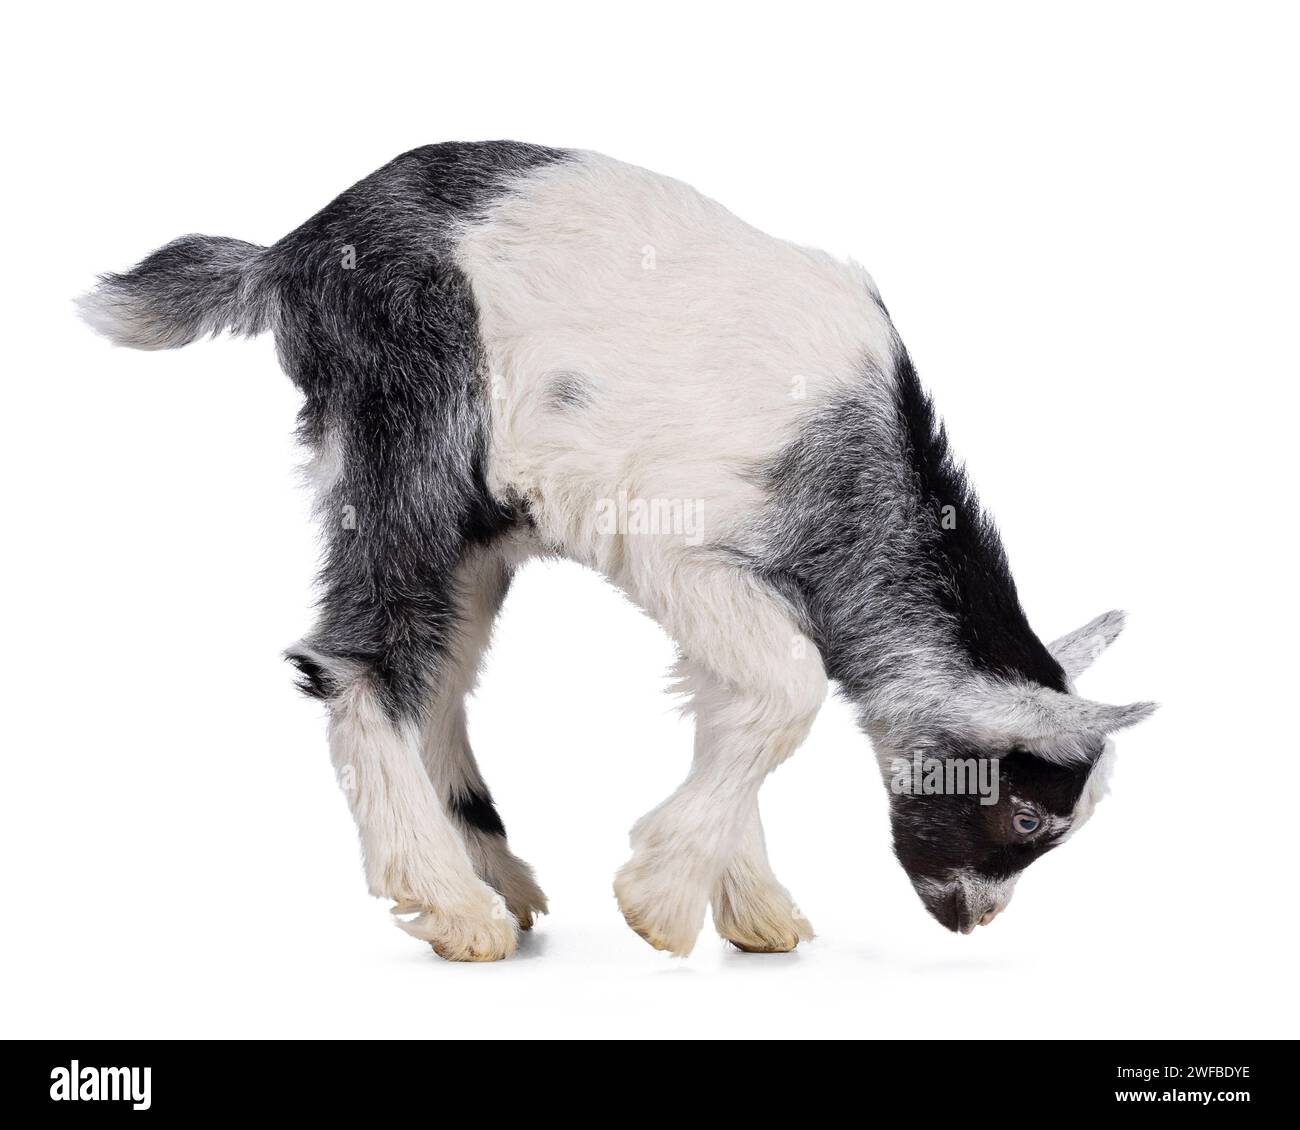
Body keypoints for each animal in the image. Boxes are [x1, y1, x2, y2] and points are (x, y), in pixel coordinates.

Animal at [80, 142, 1155, 960]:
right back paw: (451, 903)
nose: (972, 921)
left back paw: (496, 878)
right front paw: (659, 902)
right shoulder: (679, 546)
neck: (859, 473)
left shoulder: (734, 588)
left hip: (480, 527)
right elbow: (786, 691)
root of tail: (291, 252)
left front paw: (748, 902)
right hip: (409, 442)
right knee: (363, 660)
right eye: (1027, 818)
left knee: (442, 674)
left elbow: (731, 711)